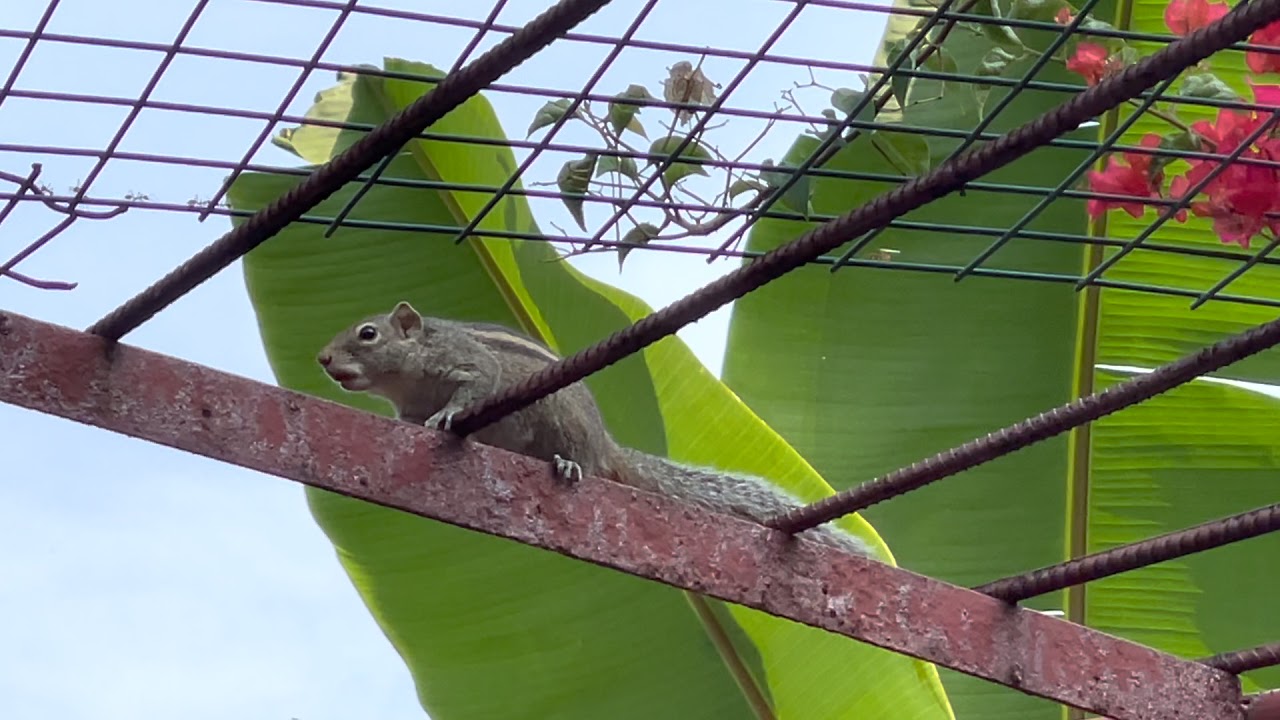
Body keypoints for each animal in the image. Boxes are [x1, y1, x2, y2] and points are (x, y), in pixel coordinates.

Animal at [317, 301, 871, 556]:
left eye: (368, 334)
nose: (323, 358)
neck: (407, 380)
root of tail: (606, 447)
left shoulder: (472, 366)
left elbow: (474, 390)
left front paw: (450, 417)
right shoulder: (407, 409)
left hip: (564, 425)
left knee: (576, 457)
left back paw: (567, 463)